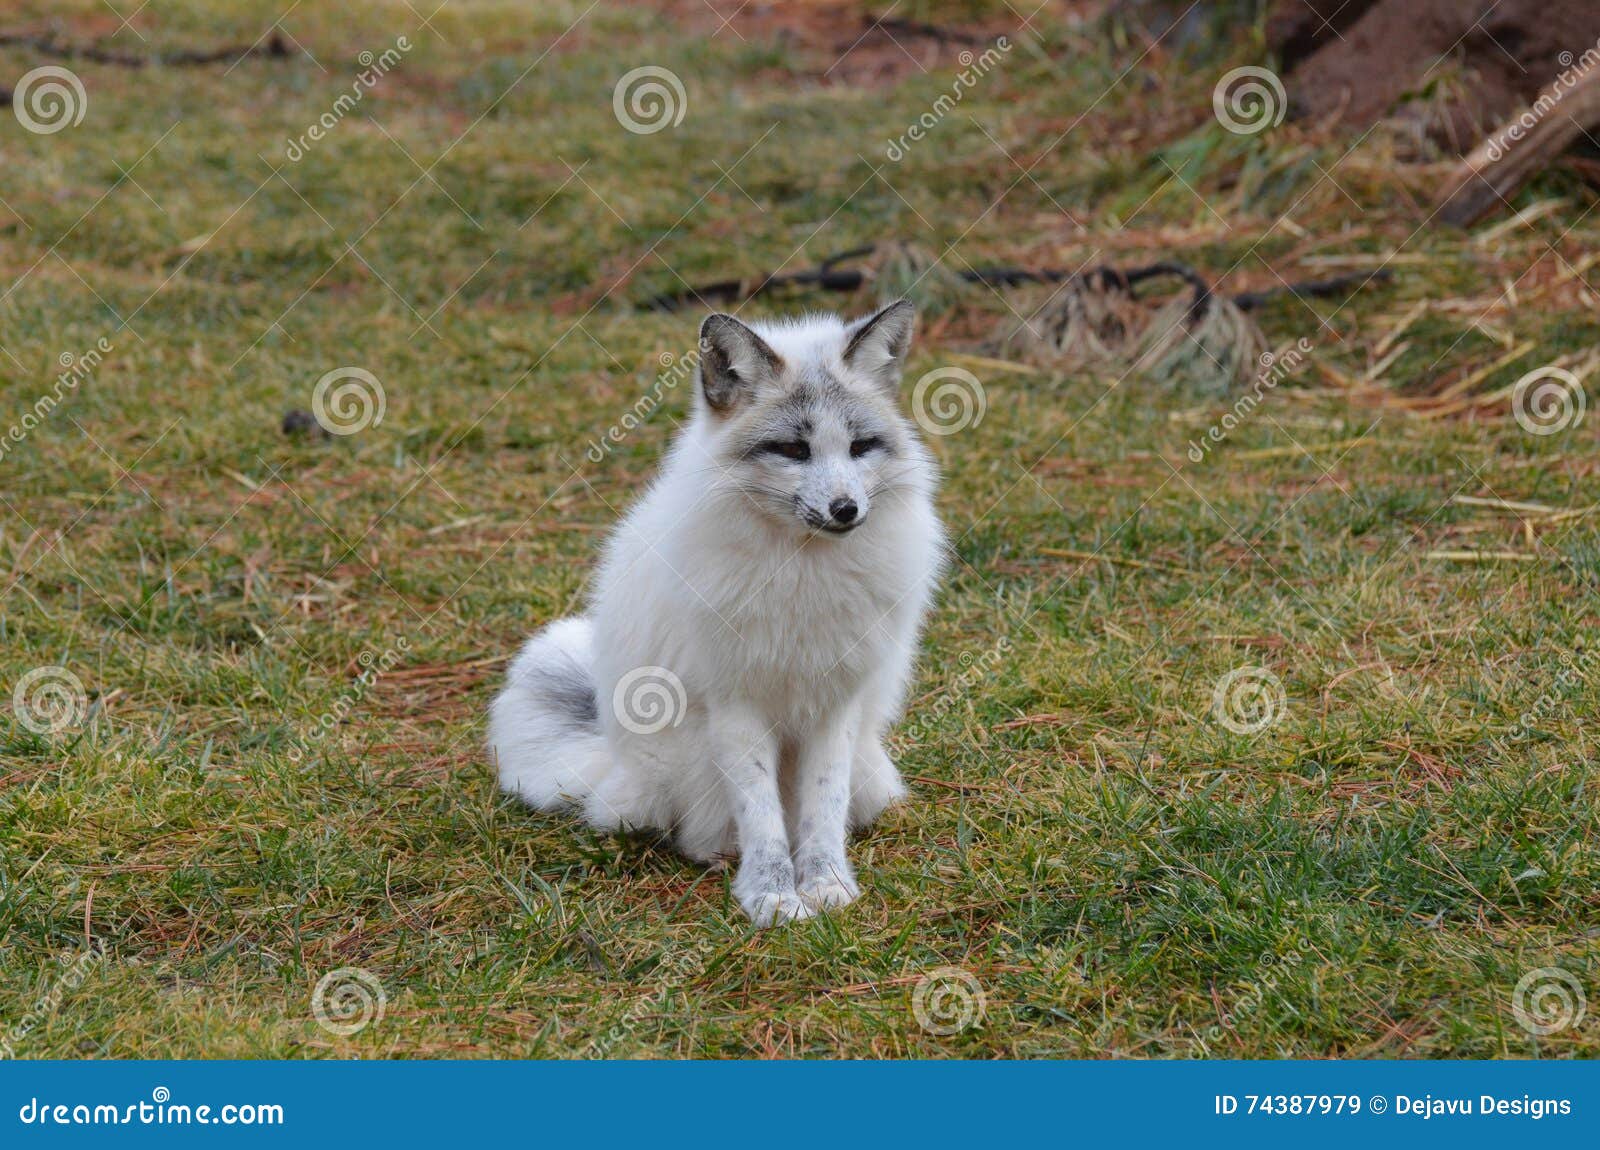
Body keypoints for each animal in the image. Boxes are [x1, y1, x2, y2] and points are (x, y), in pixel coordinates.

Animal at [487, 299, 945, 925]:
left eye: (860, 446)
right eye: (793, 450)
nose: (846, 509)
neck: (801, 578)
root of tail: (611, 755)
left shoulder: (835, 702)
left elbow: (823, 806)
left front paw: (824, 883)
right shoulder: (735, 703)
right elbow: (761, 814)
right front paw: (773, 896)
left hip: (868, 768)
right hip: (682, 763)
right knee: (695, 831)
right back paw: (719, 855)